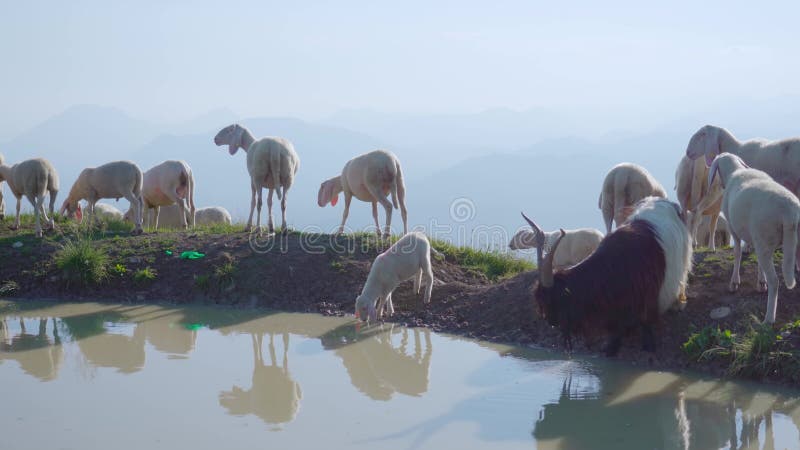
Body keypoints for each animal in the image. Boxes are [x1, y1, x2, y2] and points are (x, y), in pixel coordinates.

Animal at [526, 196, 692, 356]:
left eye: (552, 299)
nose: (549, 321)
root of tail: (662, 201)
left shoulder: (648, 303)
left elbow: (647, 333)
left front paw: (648, 346)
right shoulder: (614, 316)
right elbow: (613, 343)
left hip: (683, 260)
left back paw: (678, 304)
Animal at [707, 153, 800, 324]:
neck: (735, 171)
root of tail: (789, 211)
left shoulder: (733, 227)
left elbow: (737, 253)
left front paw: (734, 282)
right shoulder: (755, 237)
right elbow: (757, 262)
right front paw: (760, 282)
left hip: (766, 238)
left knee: (775, 281)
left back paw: (769, 318)